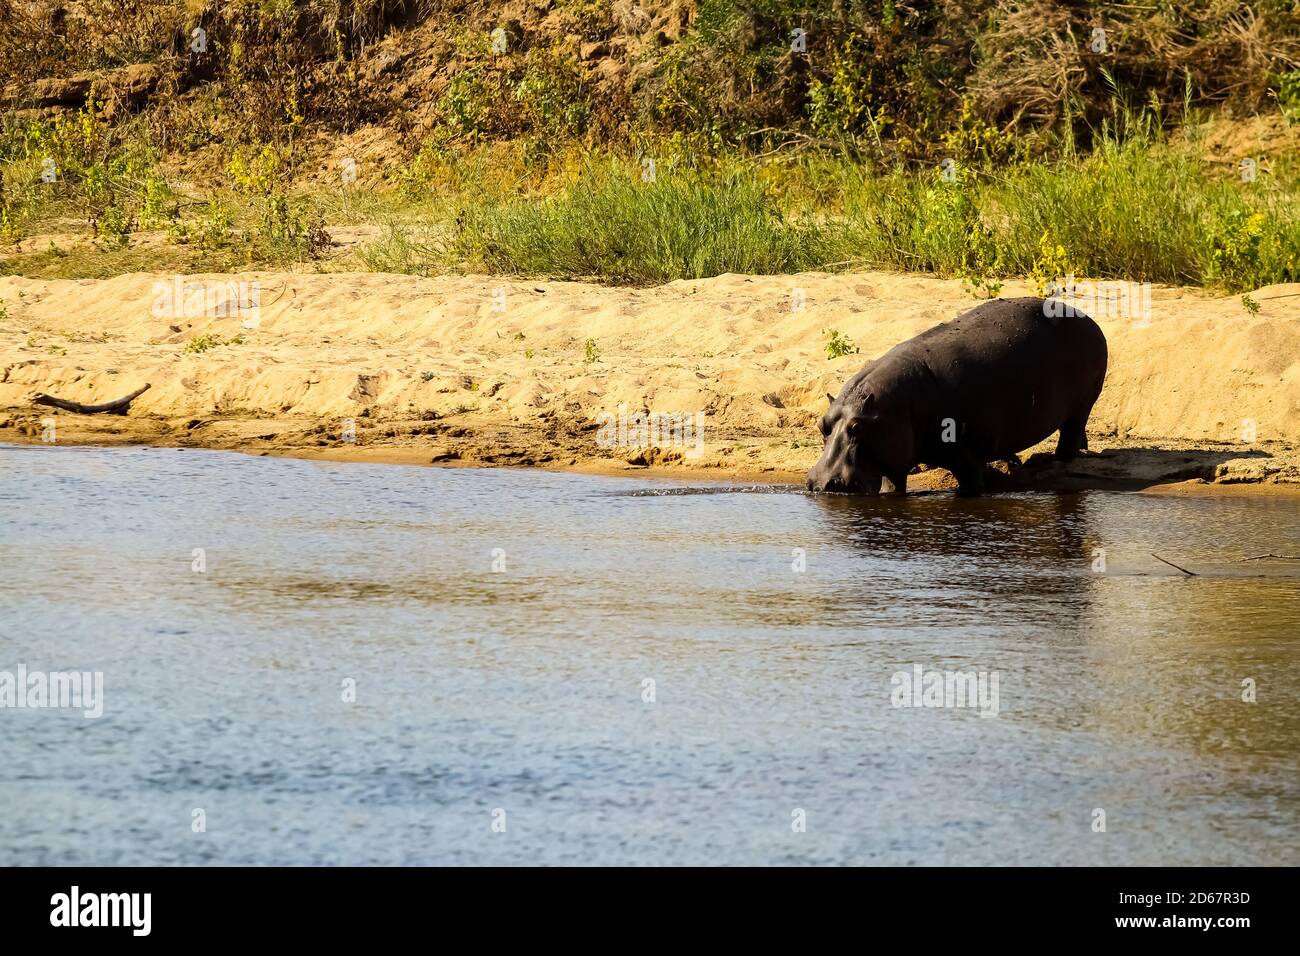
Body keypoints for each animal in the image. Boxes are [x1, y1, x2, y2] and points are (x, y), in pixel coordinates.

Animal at [806, 297, 1108, 496]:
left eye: (857, 427)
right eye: (821, 425)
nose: (820, 483)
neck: (897, 406)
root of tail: (1087, 317)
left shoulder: (964, 452)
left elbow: (971, 482)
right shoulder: (893, 458)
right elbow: (893, 487)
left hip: (1083, 403)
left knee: (1070, 436)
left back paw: (1050, 461)